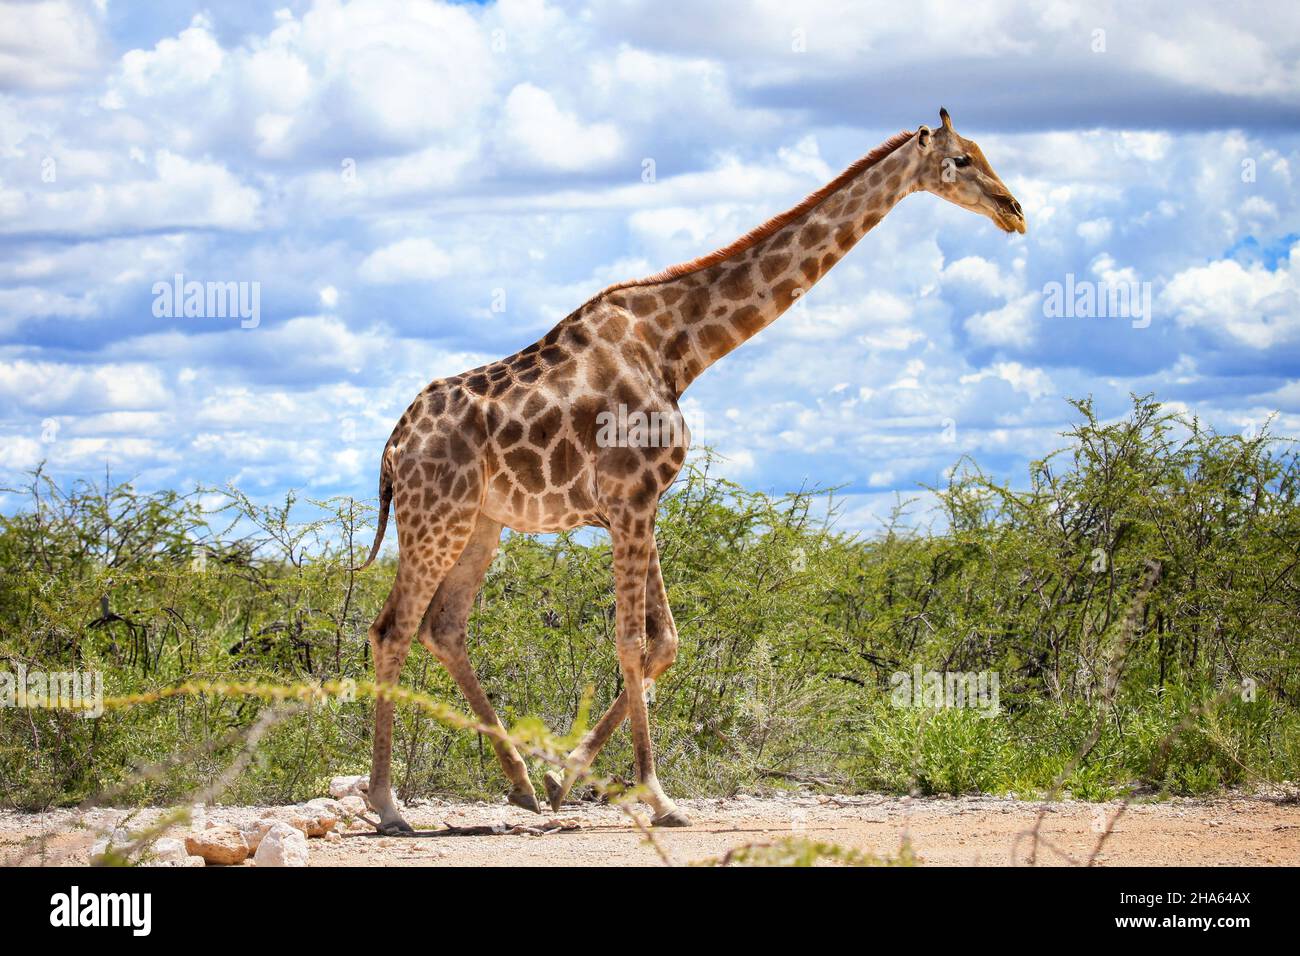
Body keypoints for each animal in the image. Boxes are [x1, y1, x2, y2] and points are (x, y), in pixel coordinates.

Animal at [353, 108, 1025, 833]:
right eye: (961, 159)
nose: (1014, 210)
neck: (679, 348)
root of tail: (393, 445)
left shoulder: (642, 503)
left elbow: (666, 643)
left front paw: (570, 776)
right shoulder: (630, 498)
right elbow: (631, 643)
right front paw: (656, 794)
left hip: (482, 523)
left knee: (443, 627)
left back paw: (523, 784)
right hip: (435, 517)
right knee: (392, 630)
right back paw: (388, 803)